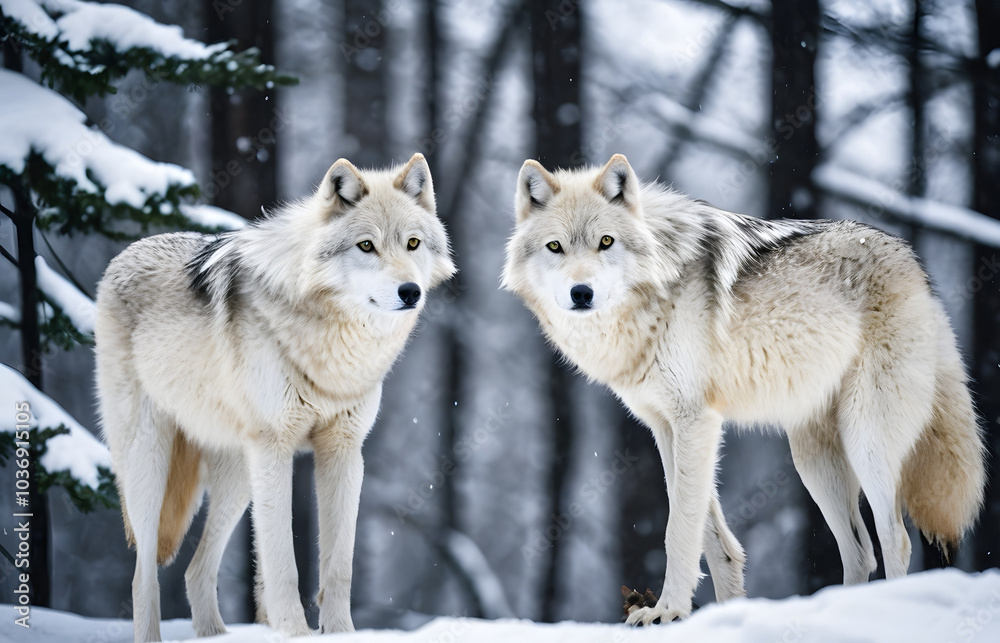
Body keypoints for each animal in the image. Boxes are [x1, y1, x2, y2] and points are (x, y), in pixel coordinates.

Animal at [95, 153, 455, 642]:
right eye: (366, 246)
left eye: (413, 243)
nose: (410, 292)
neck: (333, 347)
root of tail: (125, 253)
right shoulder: (275, 448)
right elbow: (282, 560)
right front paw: (295, 633)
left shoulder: (344, 451)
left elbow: (338, 565)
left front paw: (340, 633)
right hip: (150, 460)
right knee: (143, 574)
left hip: (238, 476)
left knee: (195, 569)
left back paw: (215, 634)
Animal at [502, 154, 985, 626]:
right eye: (555, 247)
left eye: (606, 242)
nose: (581, 293)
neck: (657, 291)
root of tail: (915, 265)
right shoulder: (666, 426)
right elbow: (710, 535)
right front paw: (722, 610)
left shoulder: (696, 421)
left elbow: (678, 528)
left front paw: (666, 611)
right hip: (813, 460)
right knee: (861, 552)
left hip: (866, 439)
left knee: (896, 540)